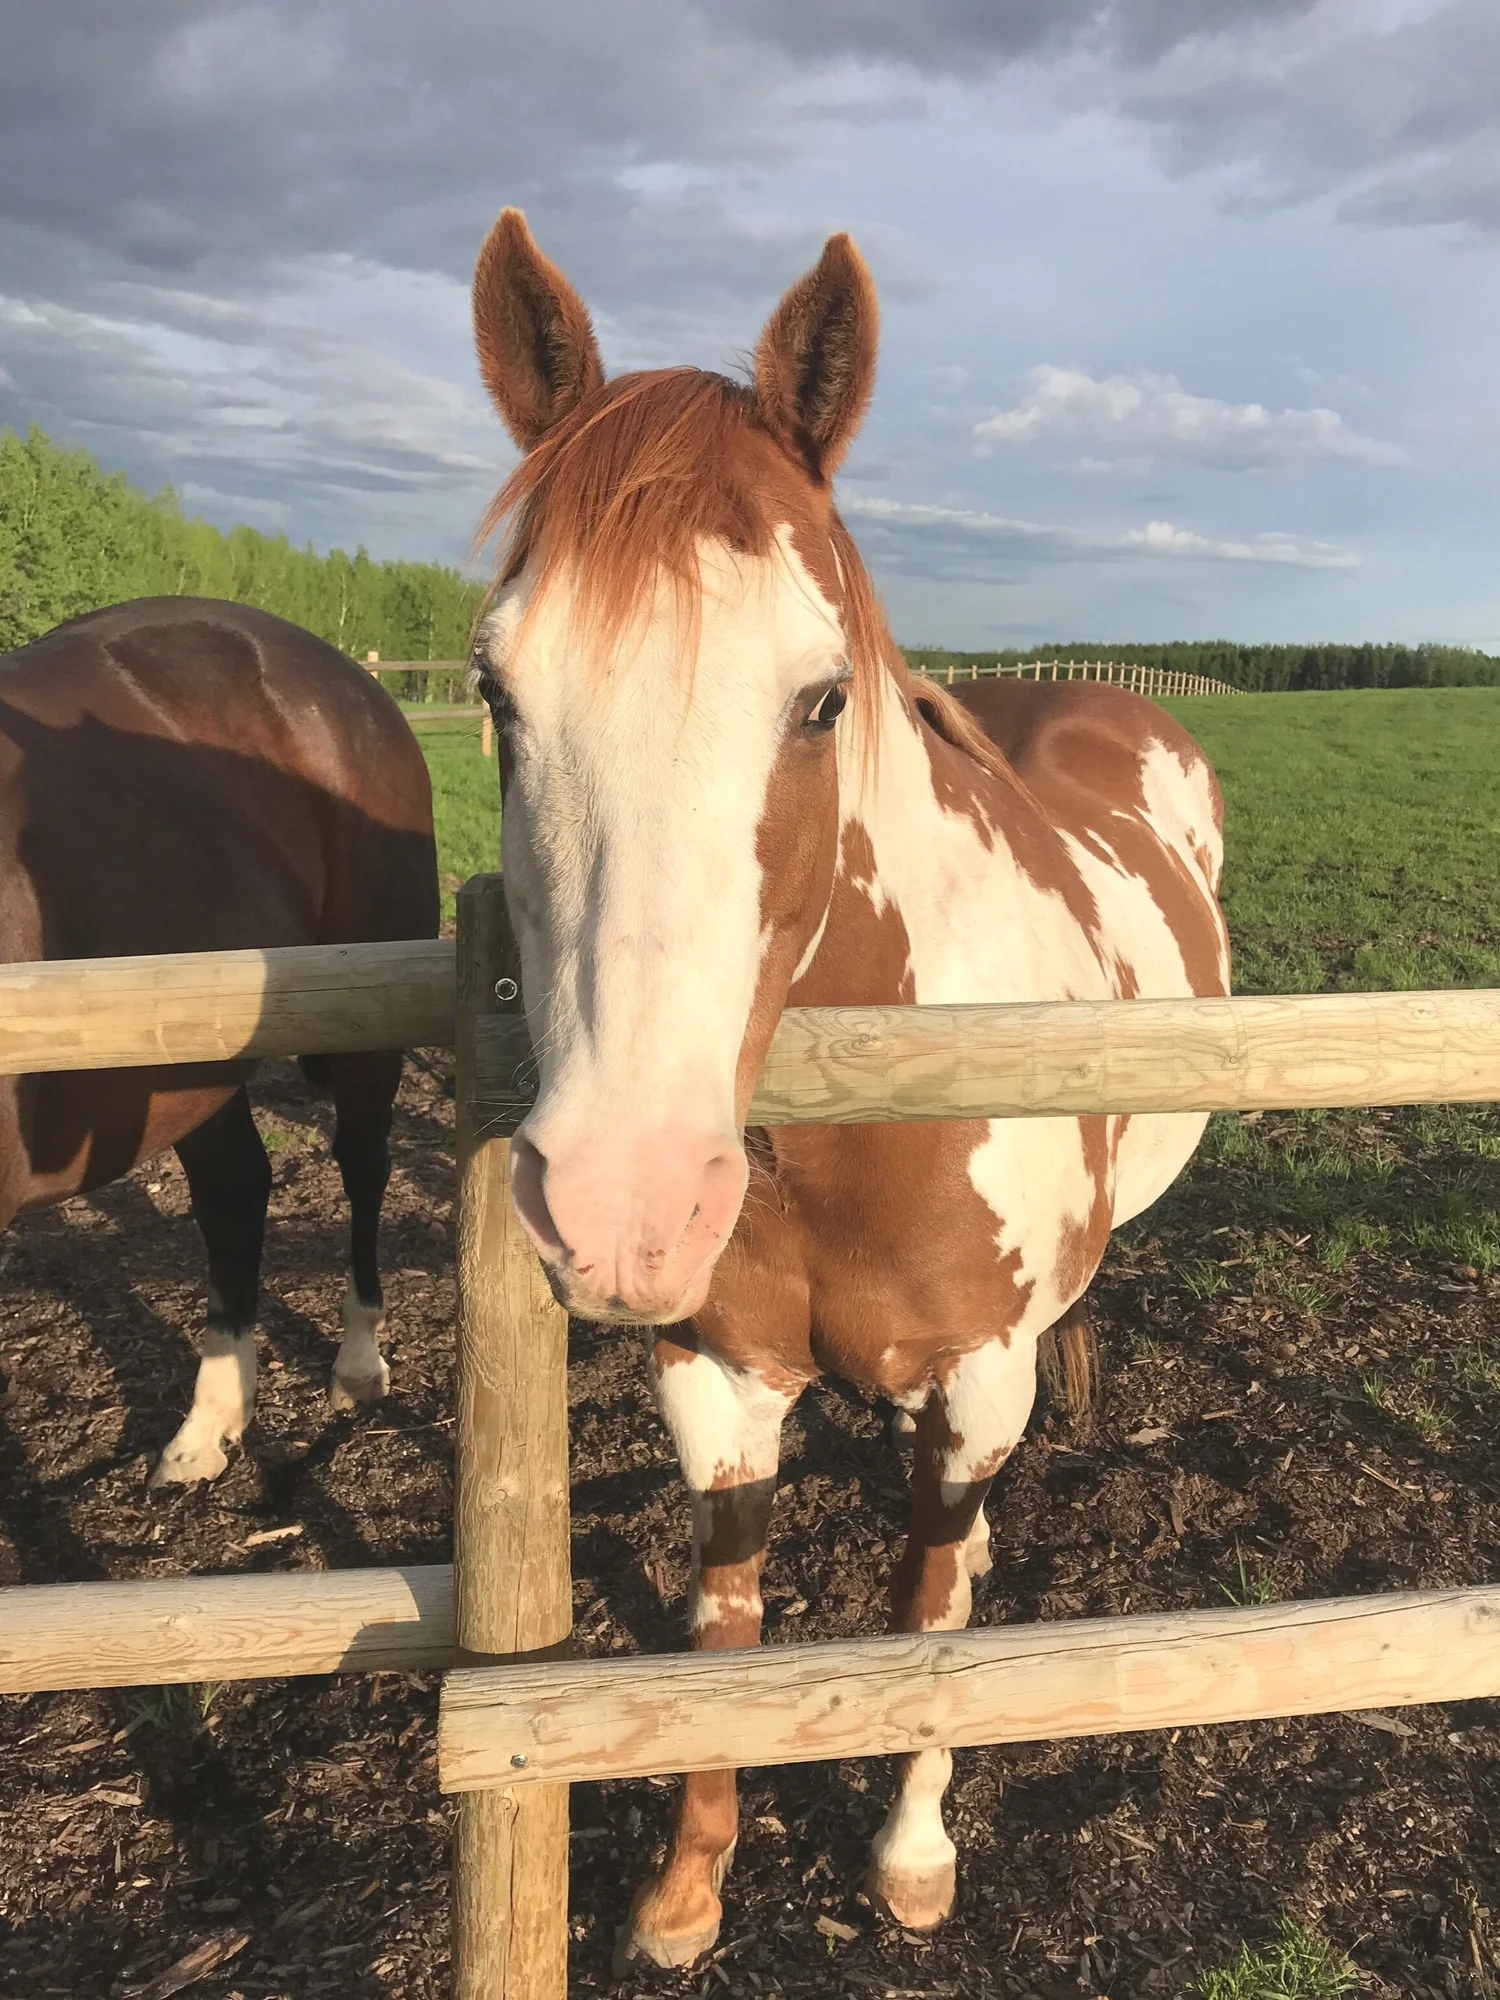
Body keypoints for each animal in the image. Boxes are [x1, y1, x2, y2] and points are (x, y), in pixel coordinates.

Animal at [468, 209, 1229, 1970]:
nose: (622, 1202)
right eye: (494, 693)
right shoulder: (711, 1377)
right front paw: (687, 1886)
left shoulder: (975, 1380)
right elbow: (727, 1630)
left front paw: (910, 1857)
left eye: (820, 699)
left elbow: (924, 1620)